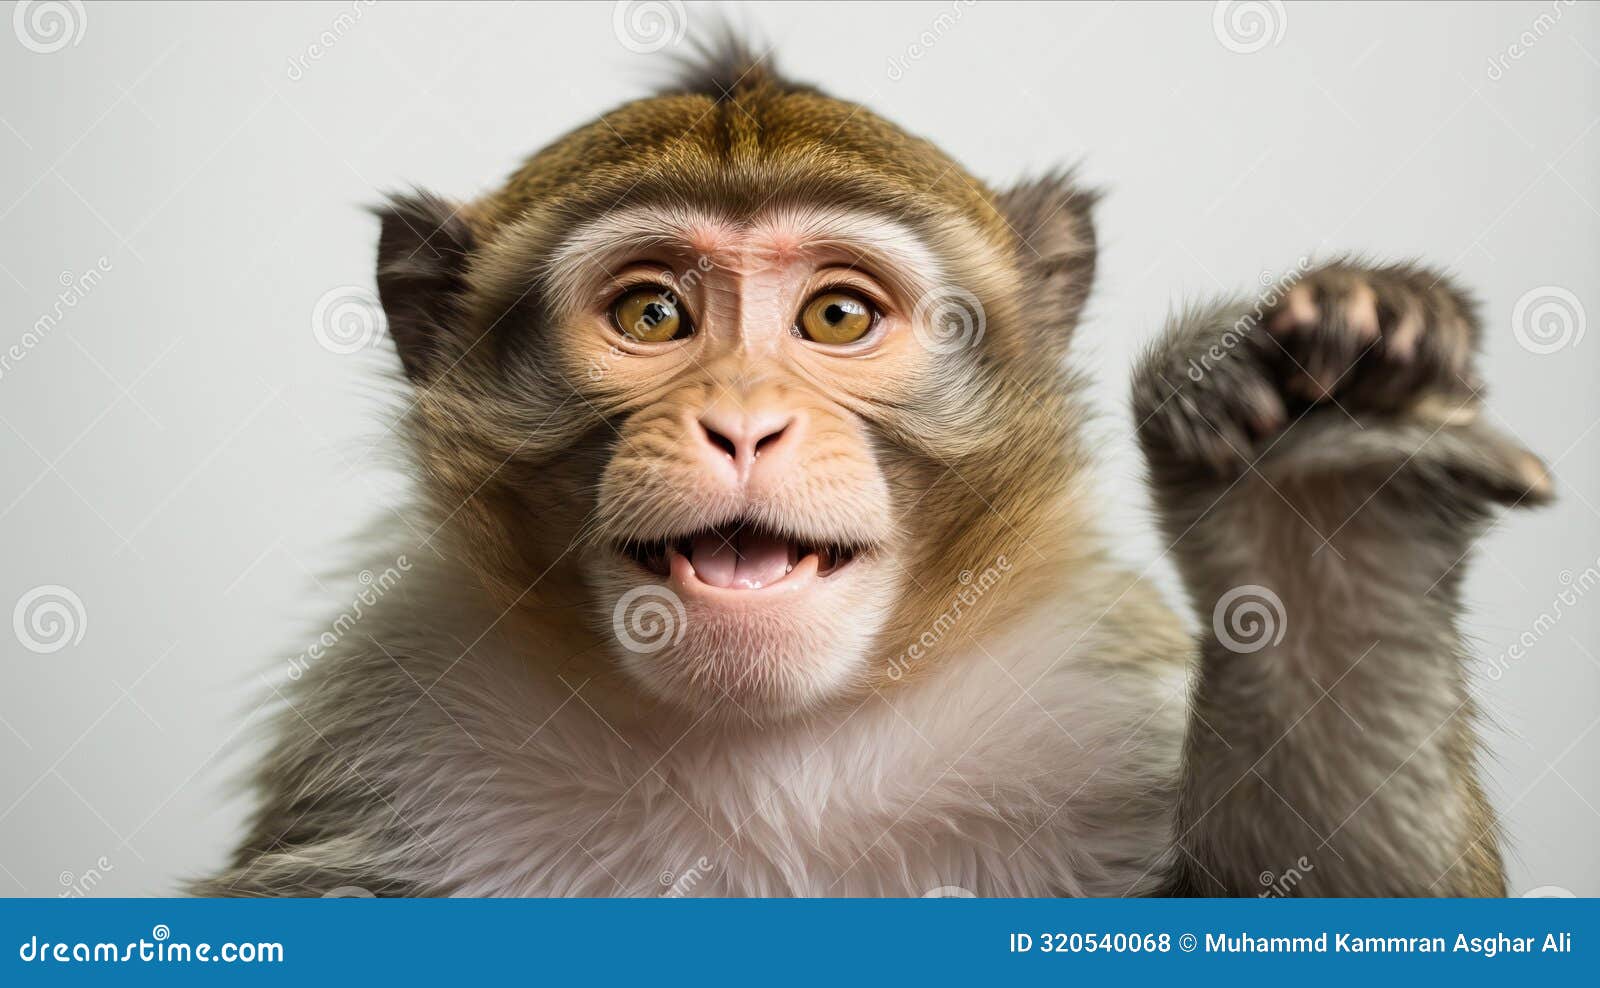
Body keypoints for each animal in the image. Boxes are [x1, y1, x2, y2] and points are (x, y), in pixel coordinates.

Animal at [191, 34, 1551, 897]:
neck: (759, 770)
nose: (744, 420)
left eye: (836, 316)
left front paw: (1319, 505)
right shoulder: (388, 760)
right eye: (651, 315)